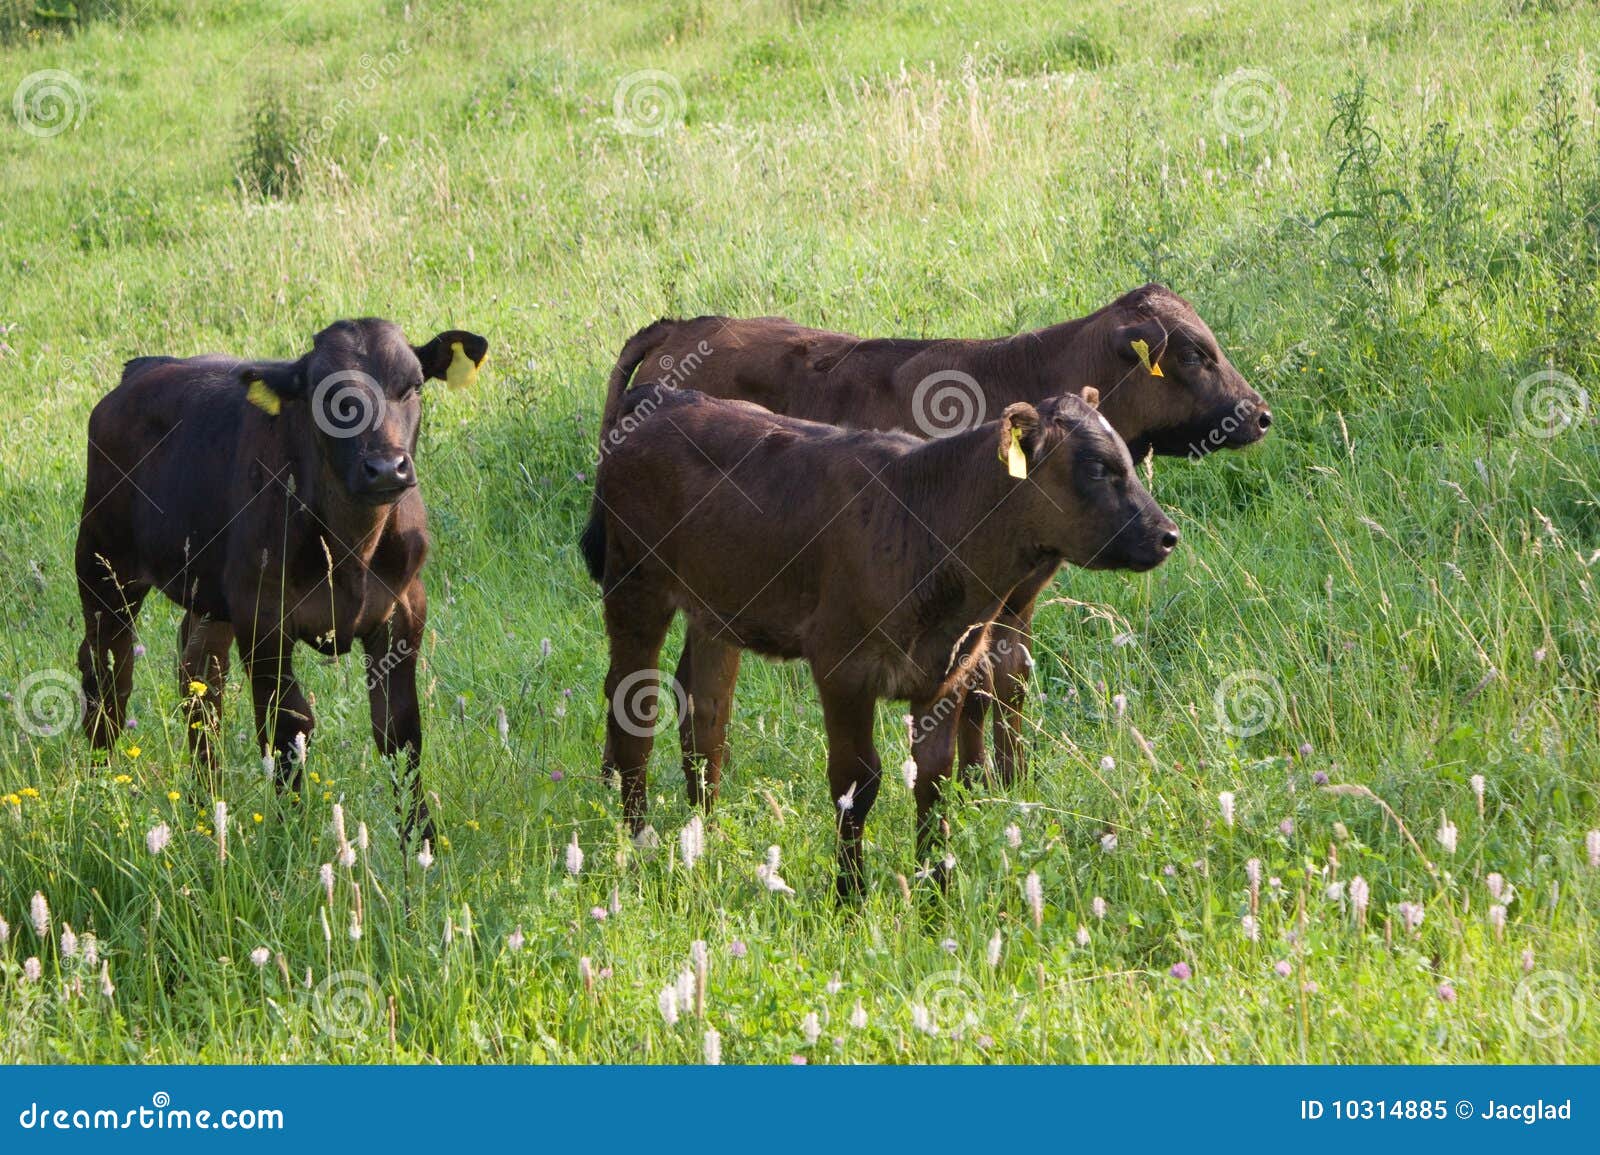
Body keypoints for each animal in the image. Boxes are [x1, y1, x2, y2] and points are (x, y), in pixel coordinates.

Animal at [74, 318, 488, 848]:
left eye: (413, 385)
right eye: (326, 397)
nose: (384, 468)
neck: (351, 550)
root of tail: (143, 369)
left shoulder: (404, 611)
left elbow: (399, 730)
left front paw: (421, 844)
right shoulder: (263, 617)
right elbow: (288, 723)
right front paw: (293, 833)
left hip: (209, 596)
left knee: (199, 676)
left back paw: (204, 804)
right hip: (104, 564)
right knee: (108, 674)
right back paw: (98, 793)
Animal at [583, 382, 1177, 898]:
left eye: (1128, 460)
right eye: (1096, 468)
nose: (1167, 535)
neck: (928, 522)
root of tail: (665, 397)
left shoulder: (946, 673)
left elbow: (934, 784)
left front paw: (936, 899)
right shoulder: (843, 667)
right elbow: (856, 782)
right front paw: (848, 897)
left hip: (714, 607)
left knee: (706, 715)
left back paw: (705, 837)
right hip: (635, 585)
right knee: (633, 708)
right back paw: (638, 842)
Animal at [592, 283, 1268, 789]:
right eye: (1195, 354)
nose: (1259, 414)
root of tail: (683, 327)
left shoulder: (1012, 601)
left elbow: (1009, 682)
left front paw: (1006, 783)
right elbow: (980, 694)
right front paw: (980, 786)